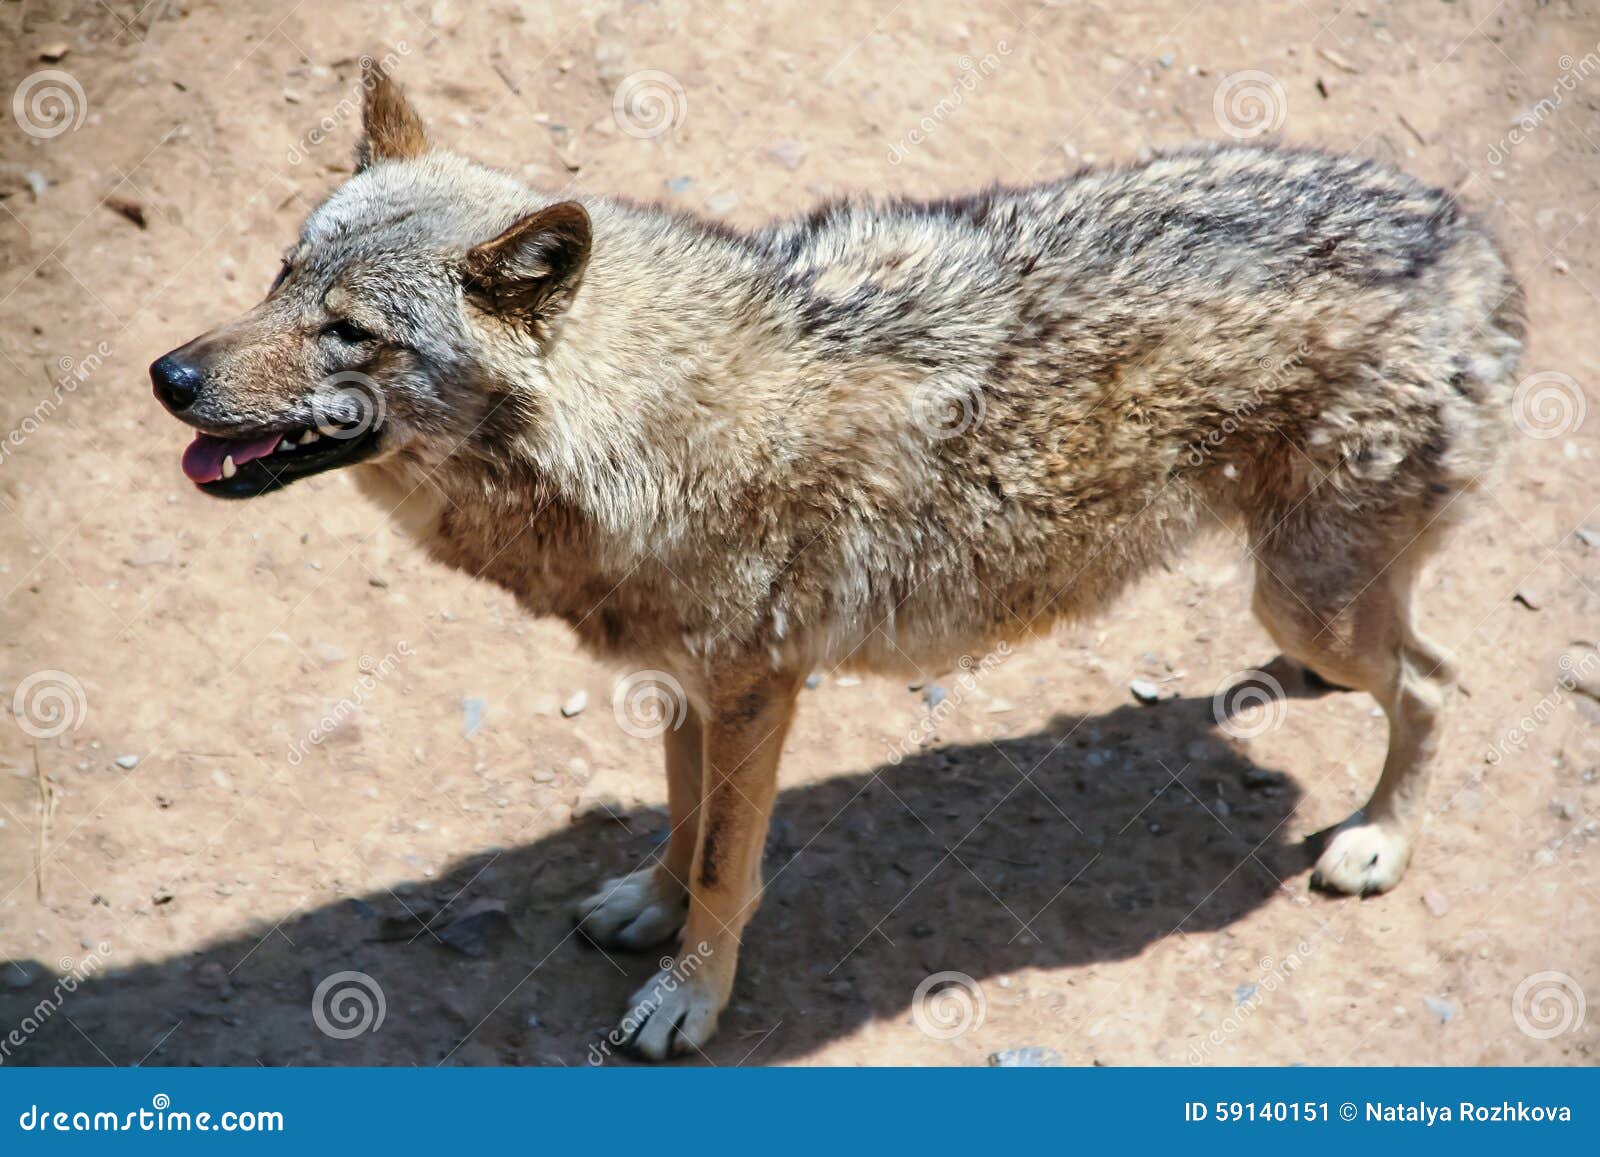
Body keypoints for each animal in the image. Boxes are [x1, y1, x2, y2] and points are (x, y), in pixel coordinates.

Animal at [151, 61, 1523, 1059]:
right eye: (280, 278)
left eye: (349, 332)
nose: (167, 375)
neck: (640, 424)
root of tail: (1472, 240)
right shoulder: (685, 682)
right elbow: (682, 818)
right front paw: (645, 904)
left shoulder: (760, 688)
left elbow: (727, 862)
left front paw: (686, 996)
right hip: (1305, 592)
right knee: (1398, 658)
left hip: (1298, 592)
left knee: (1438, 678)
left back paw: (1376, 839)